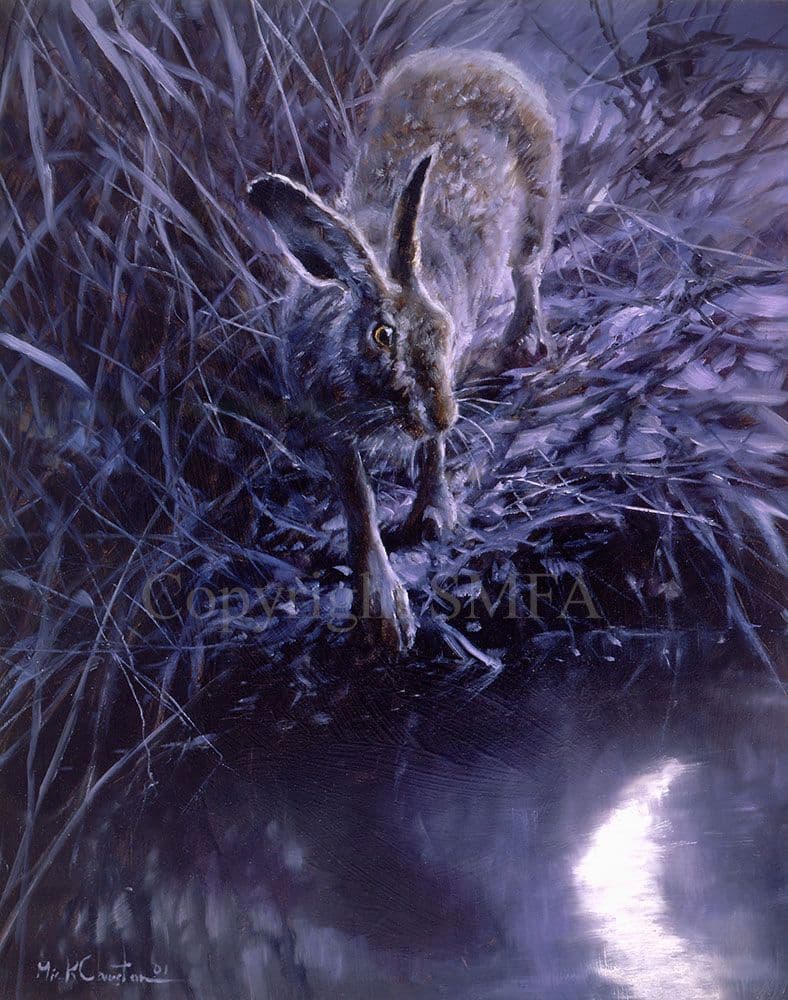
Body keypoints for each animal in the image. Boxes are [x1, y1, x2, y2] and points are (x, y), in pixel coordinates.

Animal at [246, 48, 560, 652]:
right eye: (381, 337)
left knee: (527, 274)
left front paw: (434, 515)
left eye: (445, 330)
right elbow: (359, 508)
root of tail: (480, 61)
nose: (444, 414)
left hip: (537, 210)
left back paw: (525, 345)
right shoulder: (332, 429)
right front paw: (382, 609)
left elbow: (433, 454)